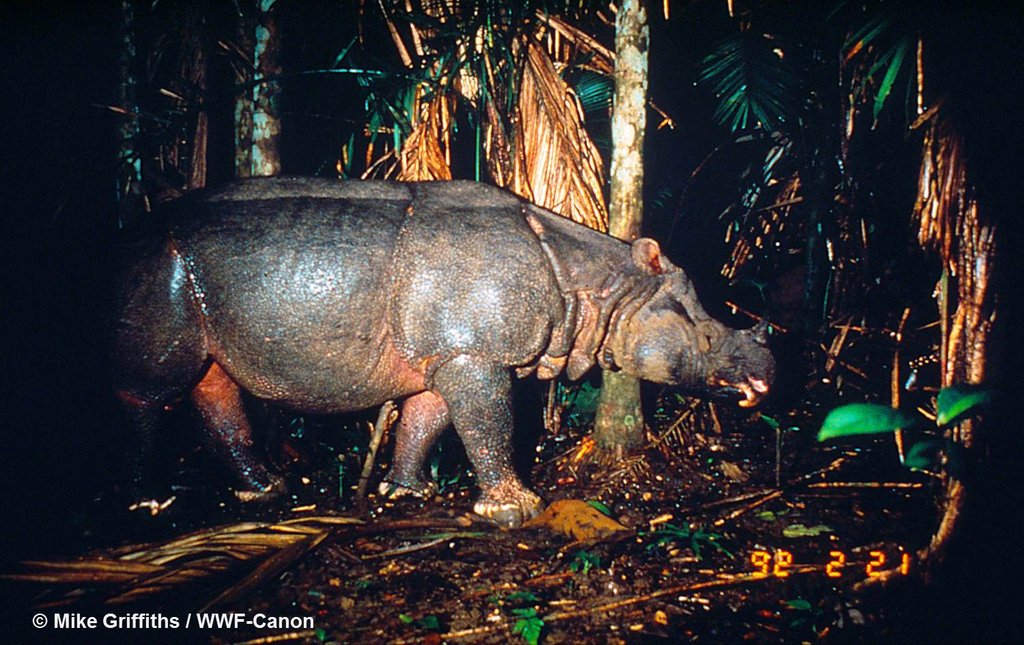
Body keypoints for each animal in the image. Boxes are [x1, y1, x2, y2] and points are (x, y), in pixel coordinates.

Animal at [113, 178, 773, 527]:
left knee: (211, 383)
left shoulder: (446, 349)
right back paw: (149, 501)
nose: (769, 369)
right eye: (707, 336)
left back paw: (266, 492)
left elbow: (426, 421)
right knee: (152, 390)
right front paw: (516, 511)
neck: (599, 284)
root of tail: (130, 236)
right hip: (162, 269)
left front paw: (408, 494)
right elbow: (487, 424)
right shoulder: (473, 353)